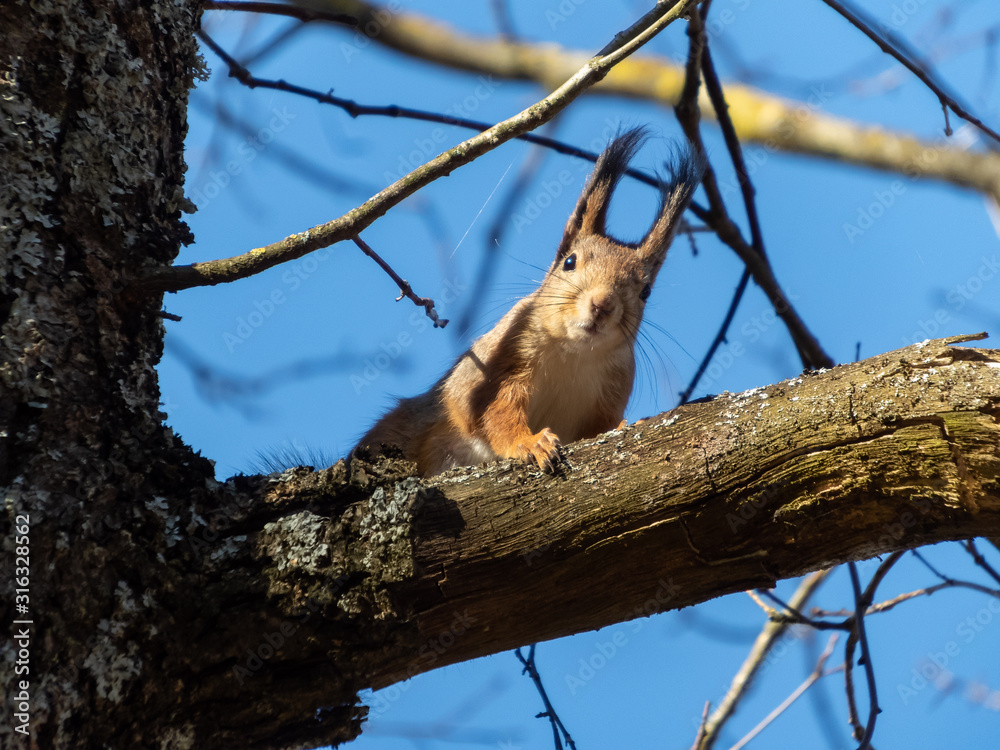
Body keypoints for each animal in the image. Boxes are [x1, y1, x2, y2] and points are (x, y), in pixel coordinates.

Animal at [354, 128, 702, 477]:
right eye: (570, 262)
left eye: (646, 292)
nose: (602, 305)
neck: (574, 354)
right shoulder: (499, 360)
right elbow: (494, 412)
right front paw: (530, 443)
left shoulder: (612, 388)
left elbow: (599, 427)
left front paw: (623, 426)